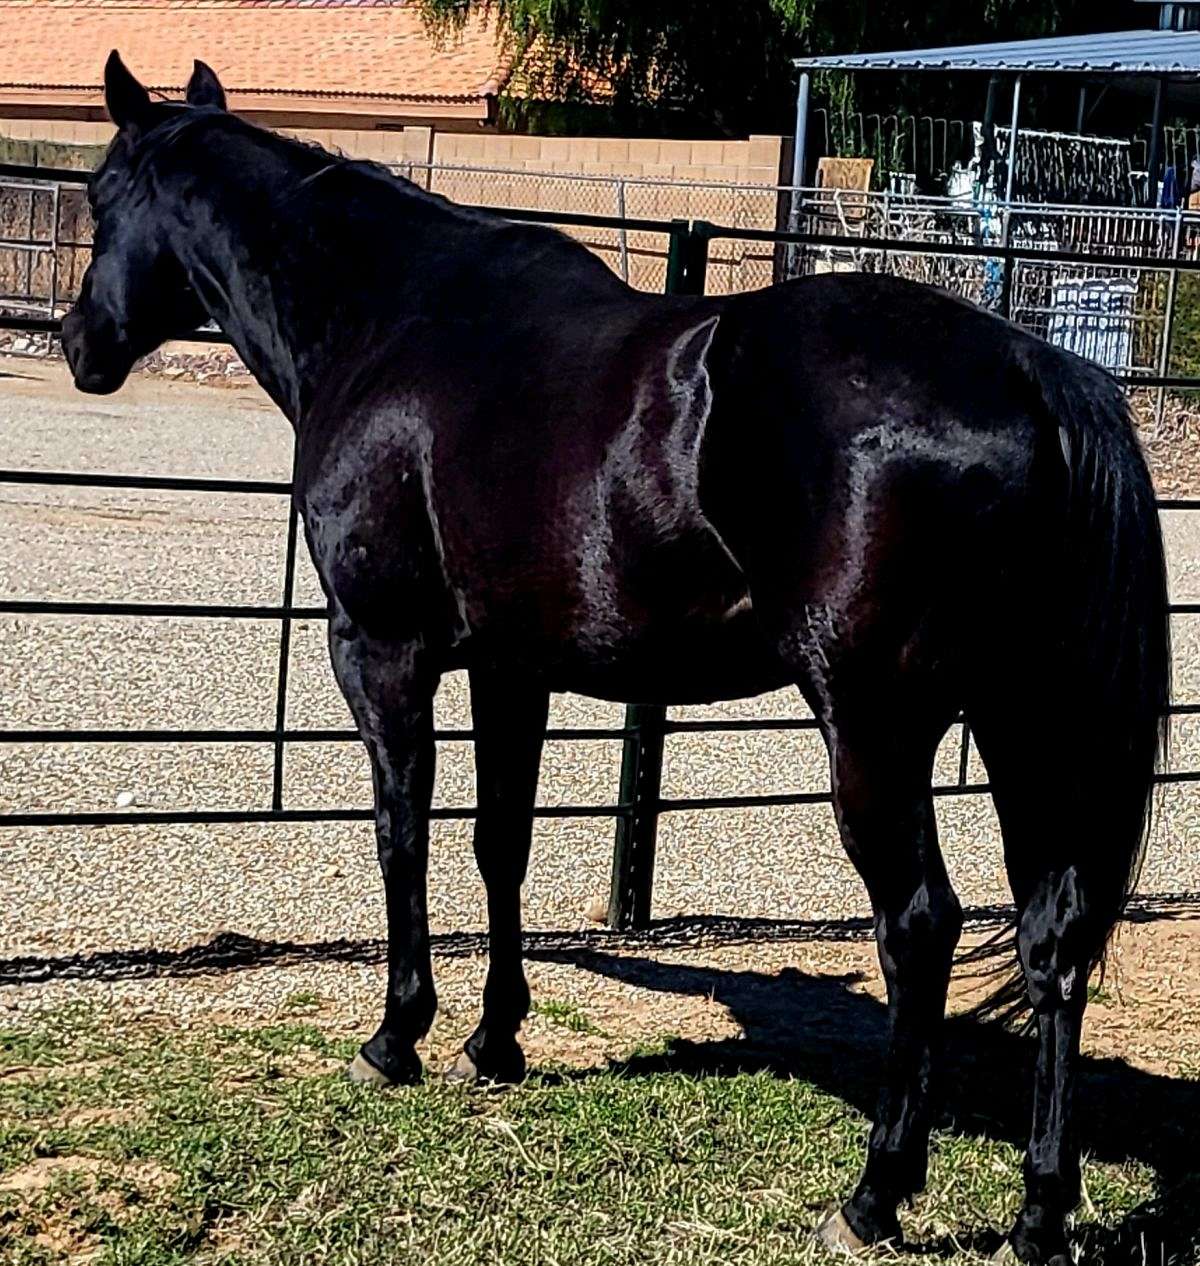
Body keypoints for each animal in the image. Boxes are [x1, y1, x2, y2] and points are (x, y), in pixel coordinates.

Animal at [60, 52, 1170, 1266]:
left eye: (101, 197)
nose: (76, 343)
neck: (391, 319)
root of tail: (1032, 369)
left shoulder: (382, 651)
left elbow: (404, 836)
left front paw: (398, 1037)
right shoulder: (510, 668)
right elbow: (499, 846)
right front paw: (495, 1042)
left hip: (878, 729)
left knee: (920, 927)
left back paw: (876, 1192)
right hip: (1028, 725)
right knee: (1055, 937)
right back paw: (1042, 1209)